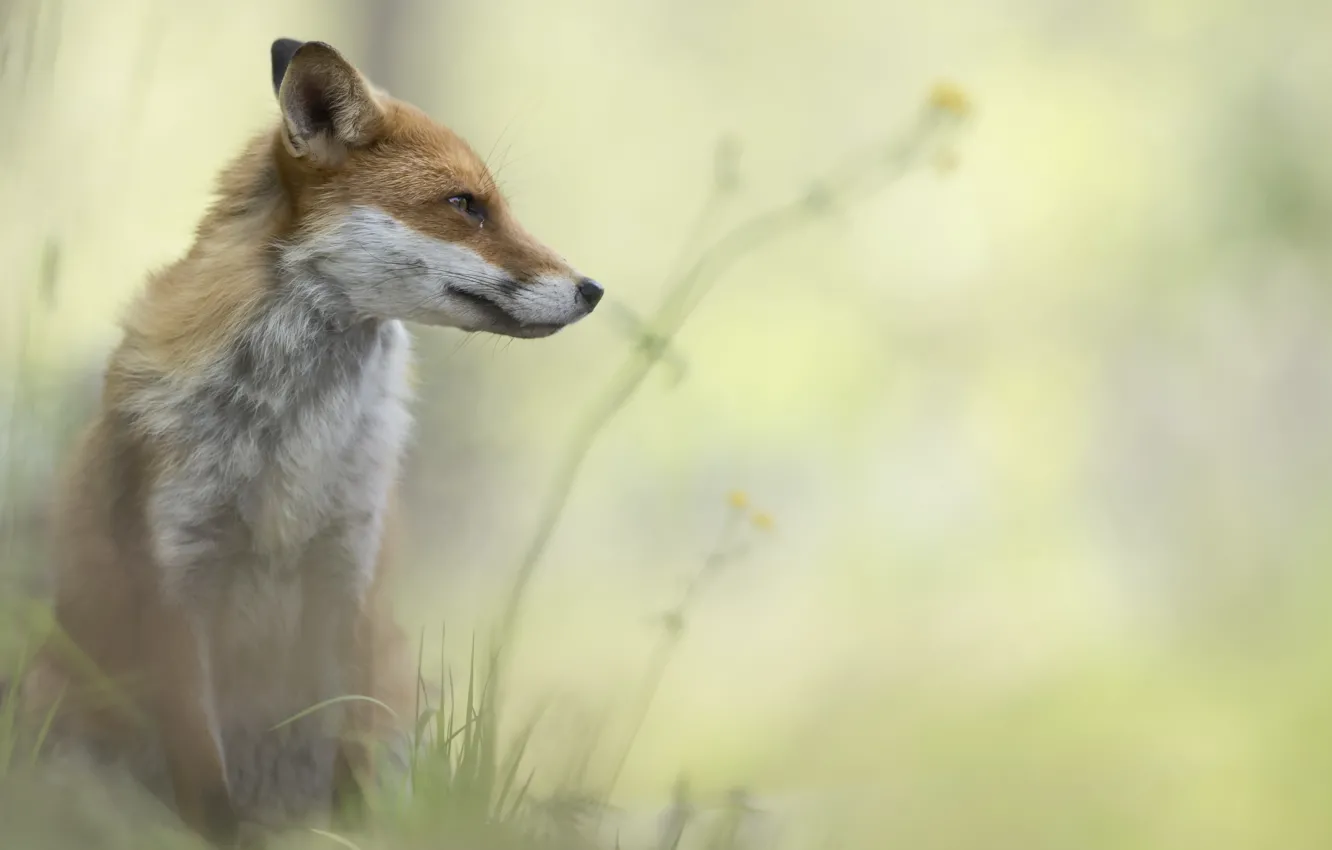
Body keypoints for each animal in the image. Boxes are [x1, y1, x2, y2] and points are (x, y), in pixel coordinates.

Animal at [18, 37, 603, 847]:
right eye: (465, 205)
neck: (293, 443)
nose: (592, 290)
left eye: (493, 204)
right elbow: (205, 781)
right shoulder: (176, 573)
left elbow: (349, 758)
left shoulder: (347, 569)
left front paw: (353, 833)